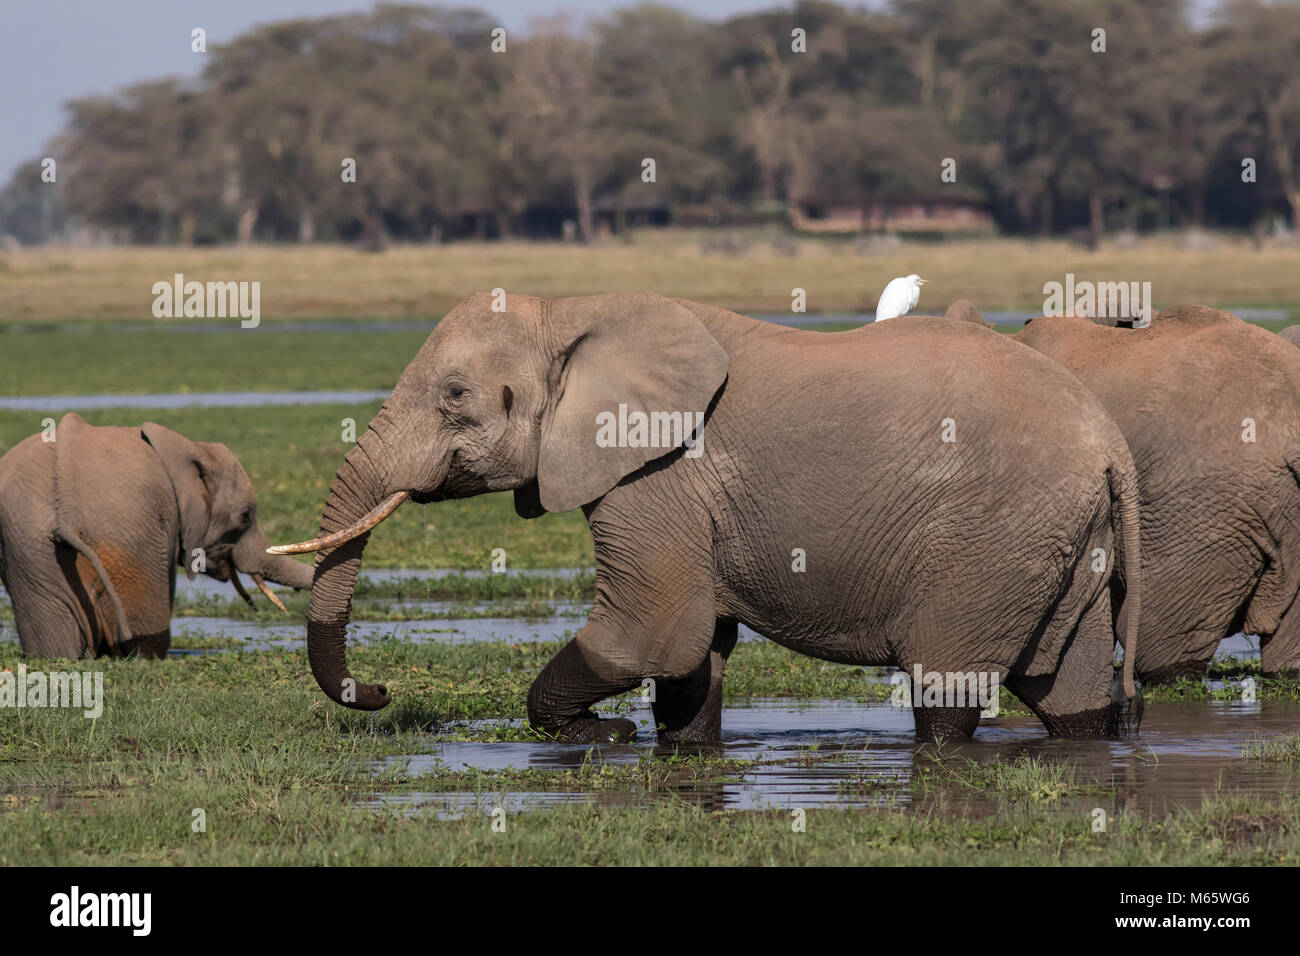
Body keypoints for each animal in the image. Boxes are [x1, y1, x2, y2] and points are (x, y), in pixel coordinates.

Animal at [0, 412, 312, 658]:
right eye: (245, 516)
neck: (188, 446)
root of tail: (65, 498)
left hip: (28, 543)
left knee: (54, 644)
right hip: (133, 540)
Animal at [272, 292, 1142, 743]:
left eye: (453, 395)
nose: (380, 691)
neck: (571, 309)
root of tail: (1111, 445)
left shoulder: (659, 476)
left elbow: (651, 633)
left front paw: (597, 736)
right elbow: (694, 657)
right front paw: (655, 741)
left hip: (990, 539)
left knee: (945, 694)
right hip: (1062, 540)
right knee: (1070, 693)